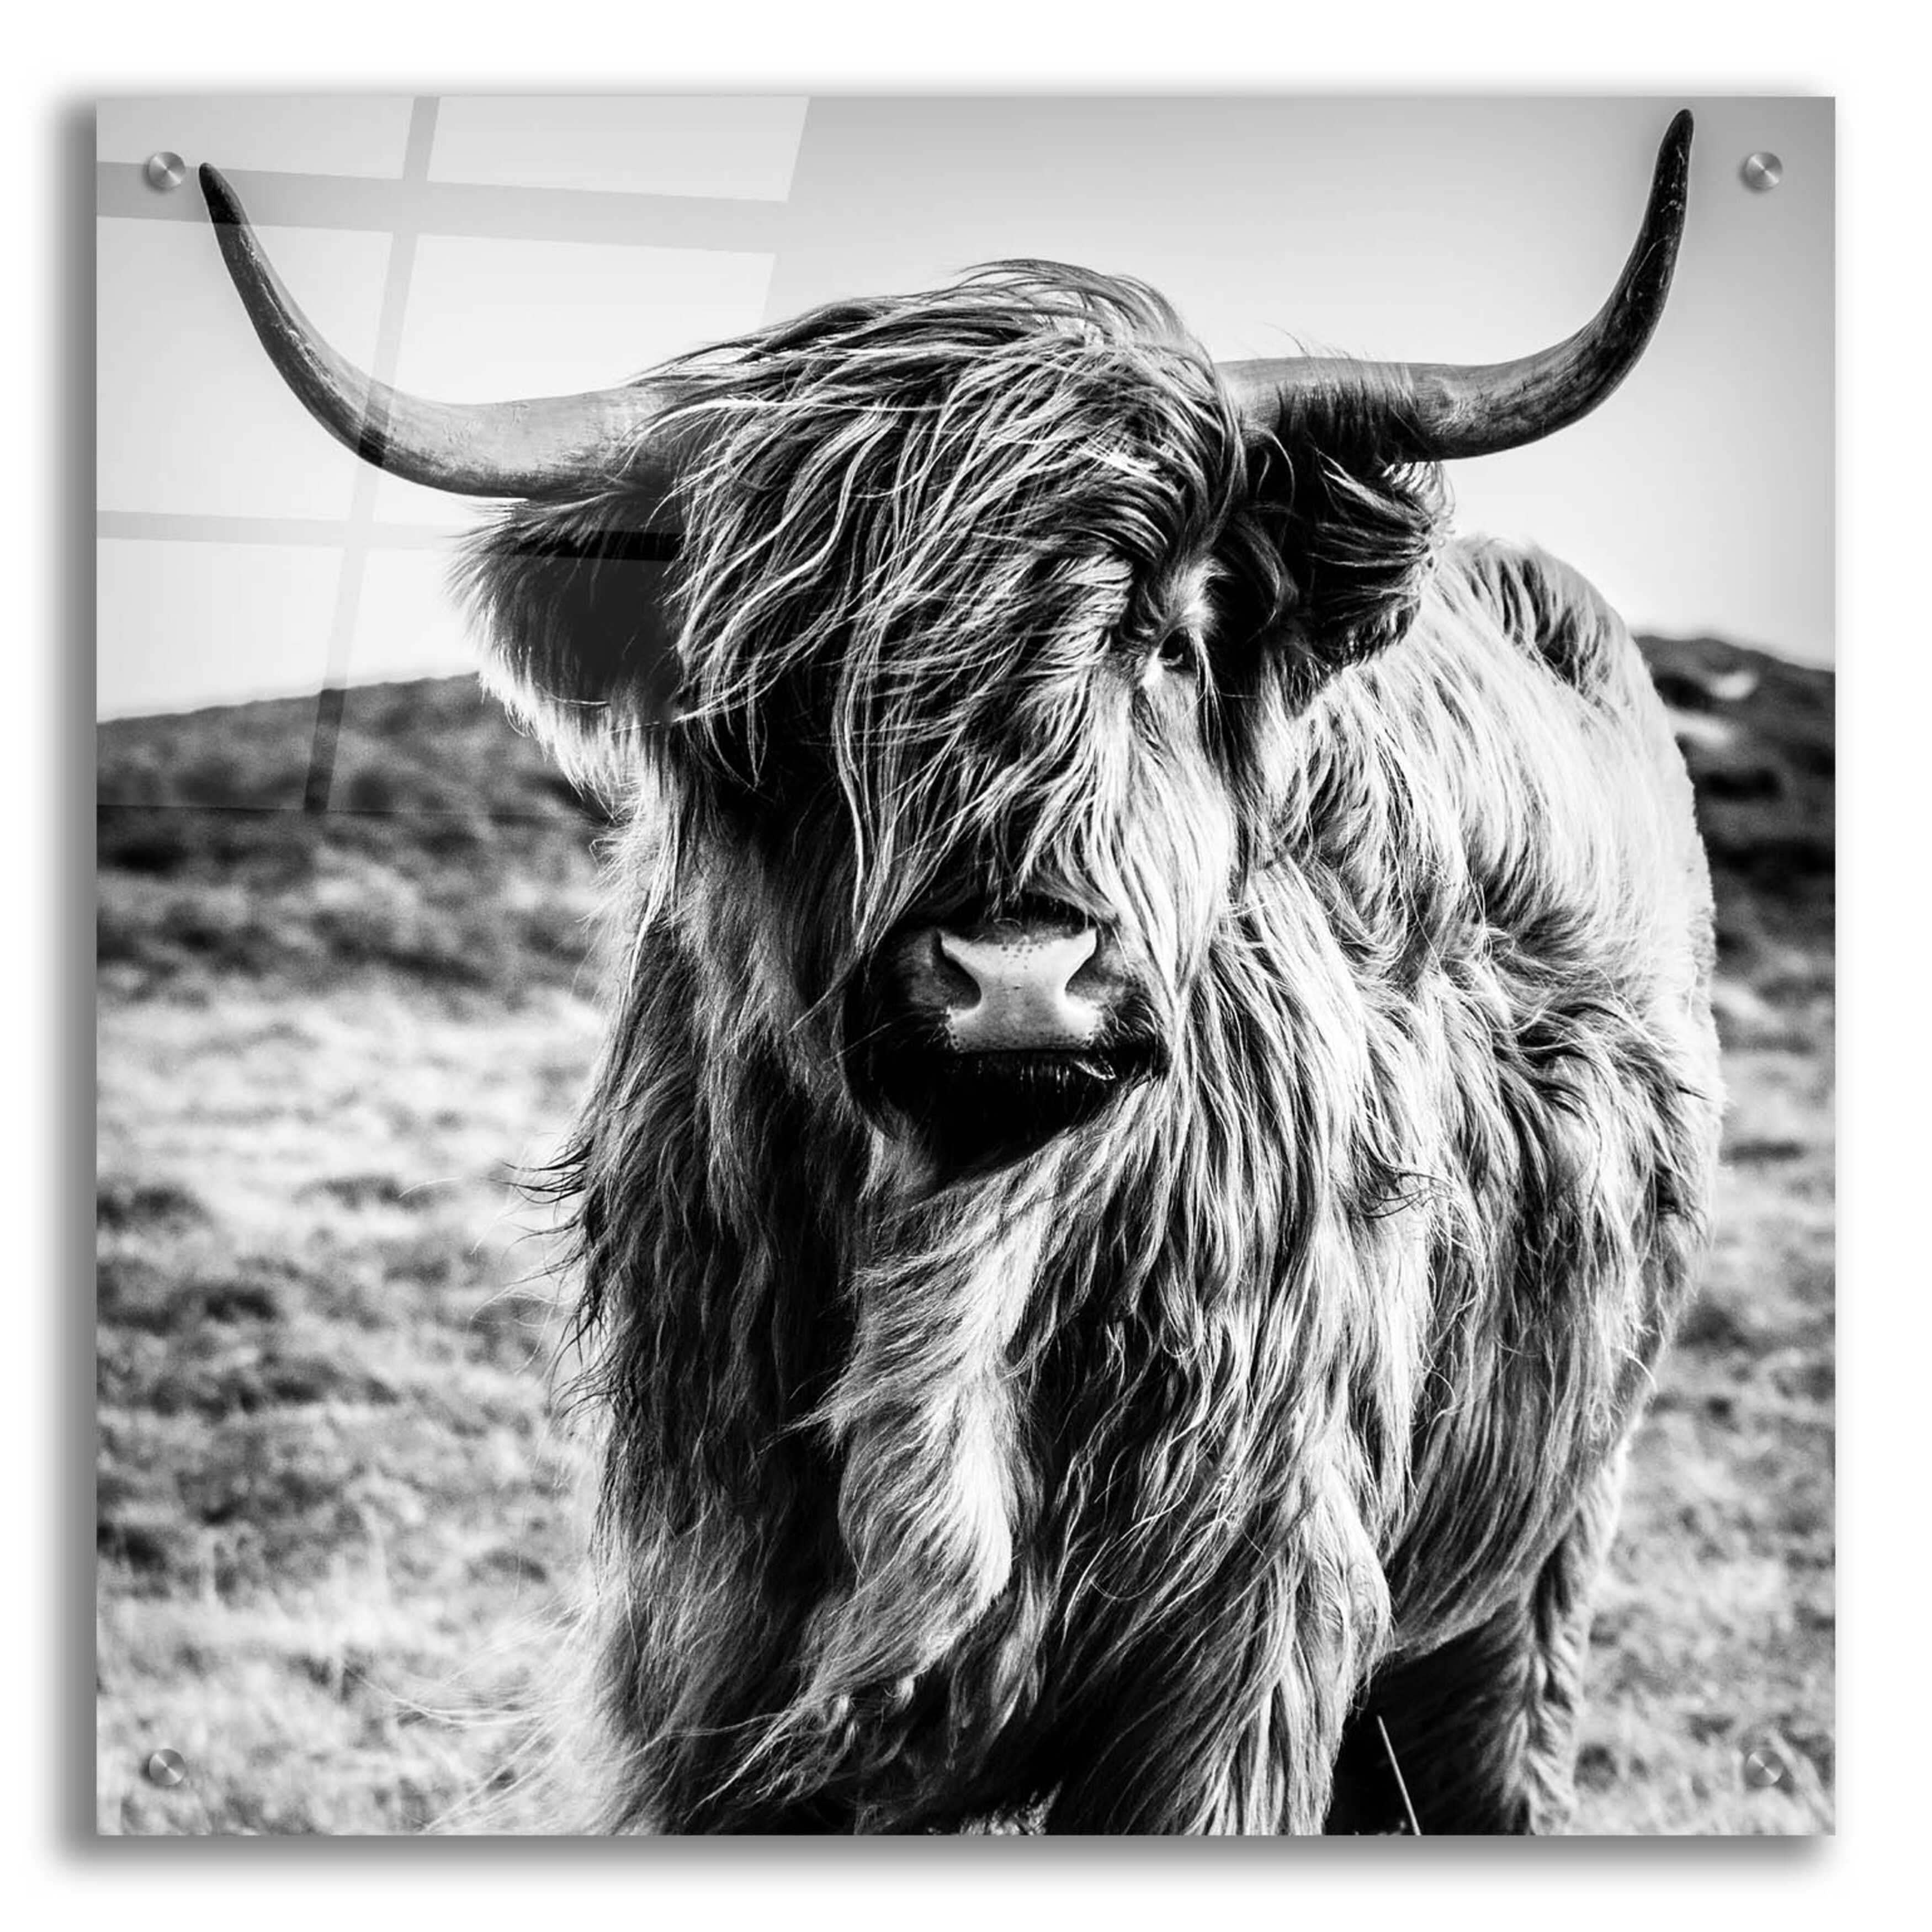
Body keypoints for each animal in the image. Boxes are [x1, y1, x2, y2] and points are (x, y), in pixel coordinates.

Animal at [200, 108, 1722, 1835]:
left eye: (1167, 638)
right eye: (792, 683)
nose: (1016, 970)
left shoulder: (1243, 1642)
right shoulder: (708, 1646)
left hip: (1542, 1551)